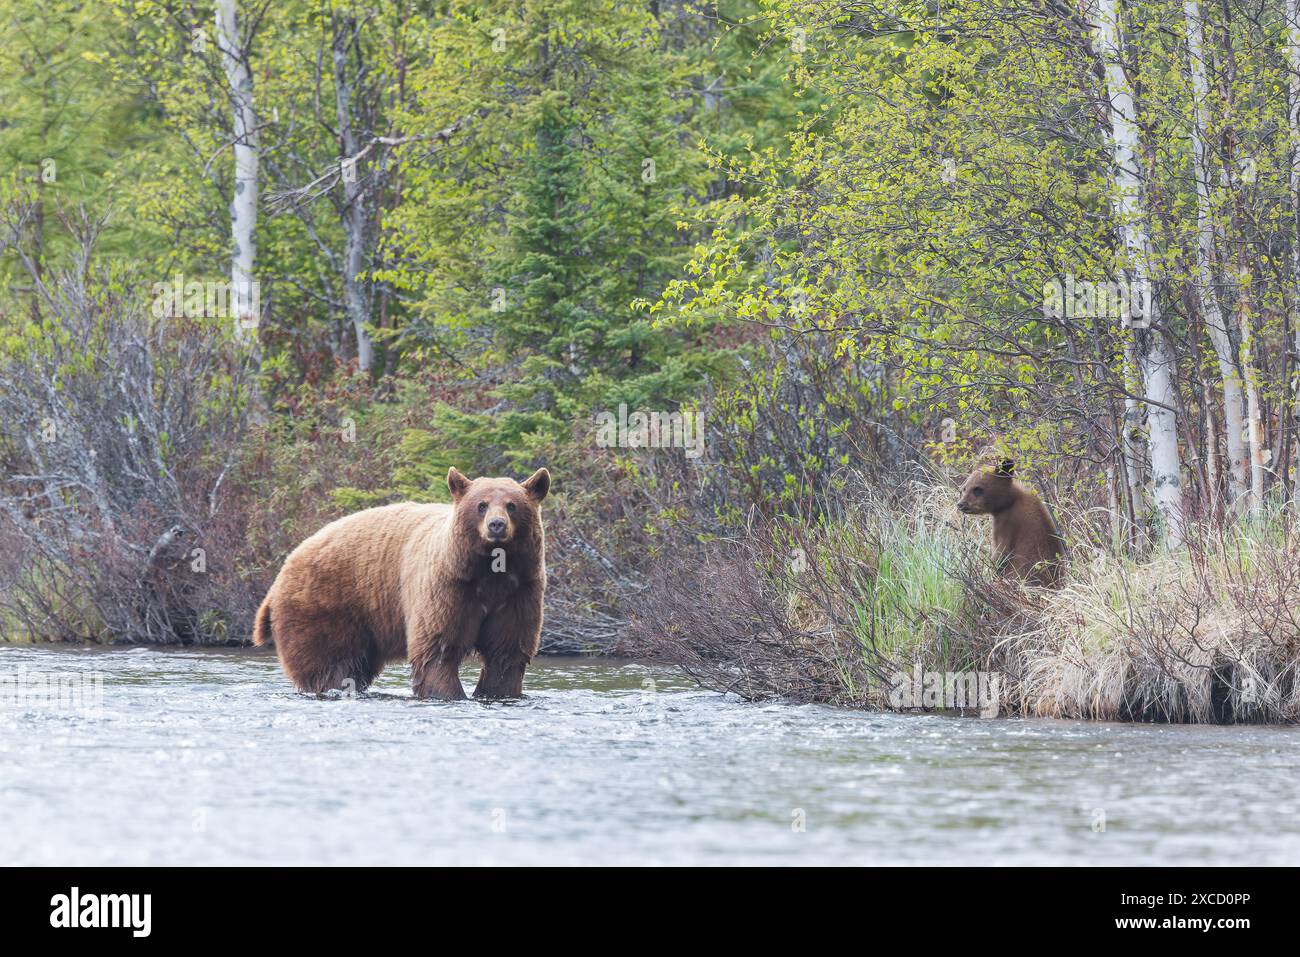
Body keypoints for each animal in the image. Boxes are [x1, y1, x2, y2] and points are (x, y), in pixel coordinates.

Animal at [253, 466, 550, 700]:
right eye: (482, 505)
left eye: (512, 505)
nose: (496, 525)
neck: (490, 571)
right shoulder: (448, 587)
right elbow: (438, 647)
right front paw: (447, 693)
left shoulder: (520, 590)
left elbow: (506, 649)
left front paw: (497, 692)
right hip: (325, 605)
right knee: (330, 664)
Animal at [956, 459, 1065, 587]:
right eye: (964, 488)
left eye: (977, 489)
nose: (961, 504)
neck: (1010, 501)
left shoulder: (1006, 523)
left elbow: (1001, 552)